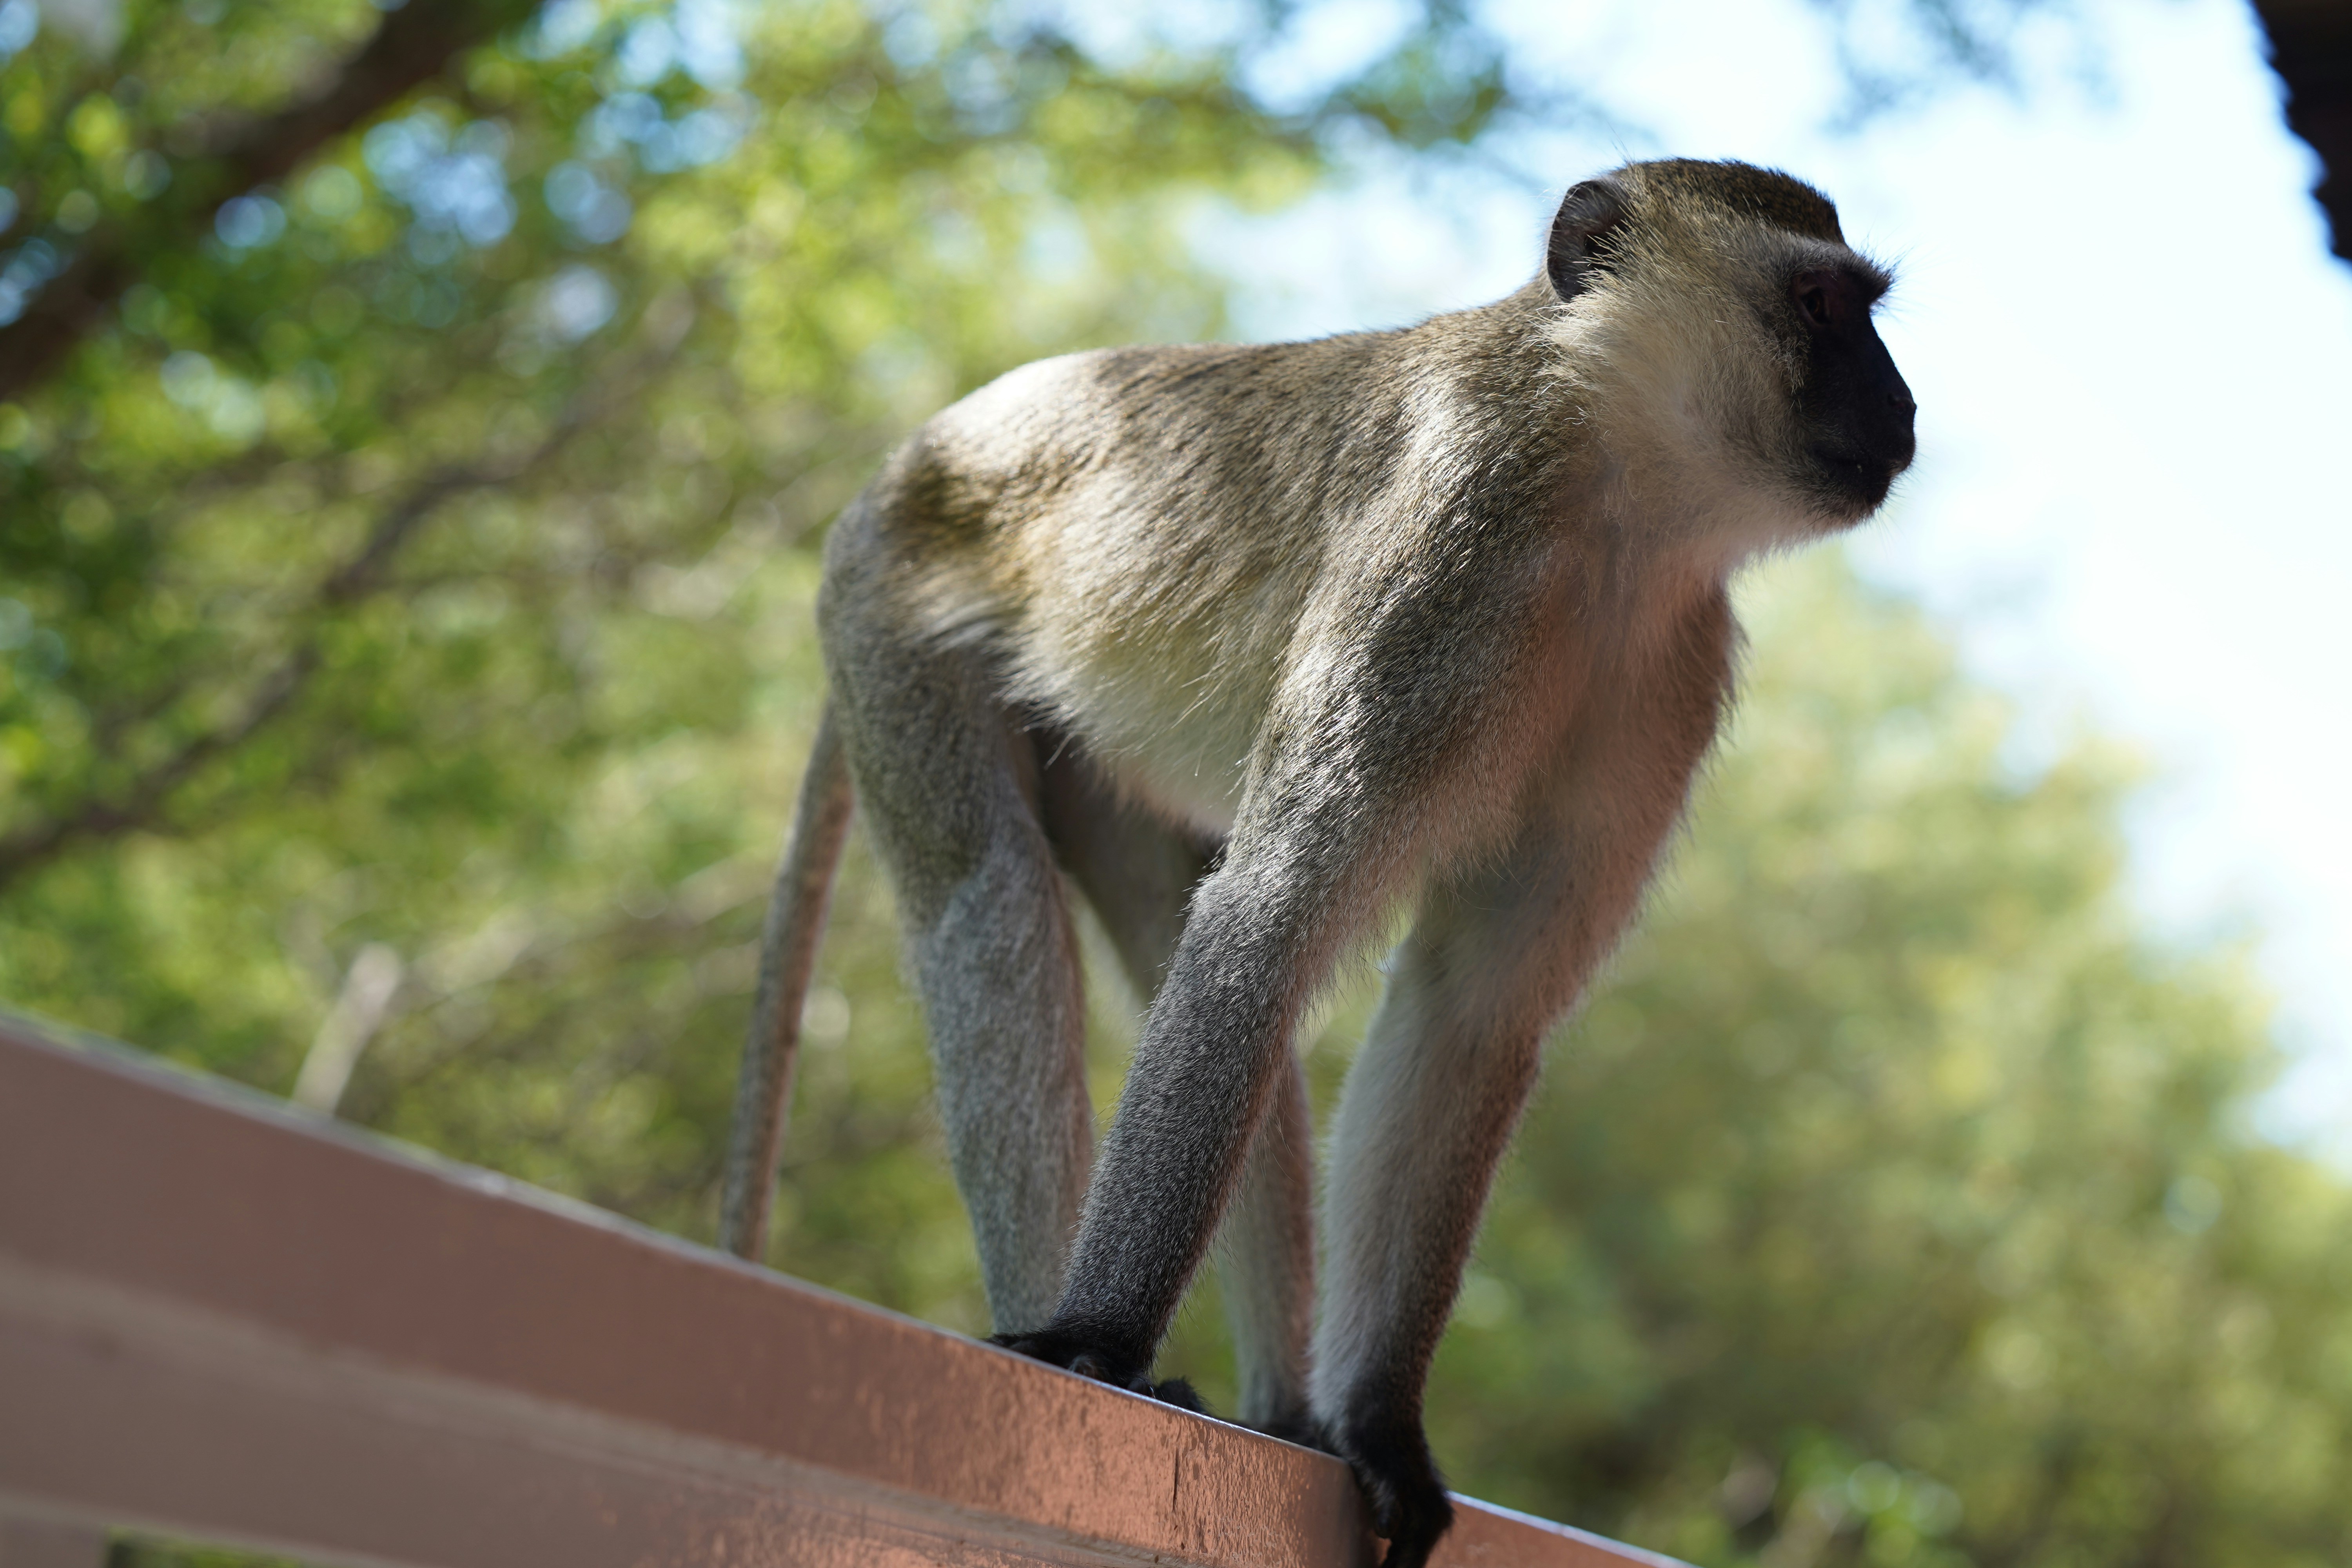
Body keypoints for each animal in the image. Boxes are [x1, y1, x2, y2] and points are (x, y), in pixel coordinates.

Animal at [718, 158, 1915, 1567]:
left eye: (1865, 309)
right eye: (1822, 305)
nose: (1903, 405)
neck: (1610, 490)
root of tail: (912, 457)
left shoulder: (1669, 671)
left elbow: (1469, 1010)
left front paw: (1380, 1427)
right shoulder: (1445, 560)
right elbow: (1274, 912)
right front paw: (1097, 1345)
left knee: (1174, 936)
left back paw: (1281, 1411)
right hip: (893, 618)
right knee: (999, 903)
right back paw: (1055, 1339)